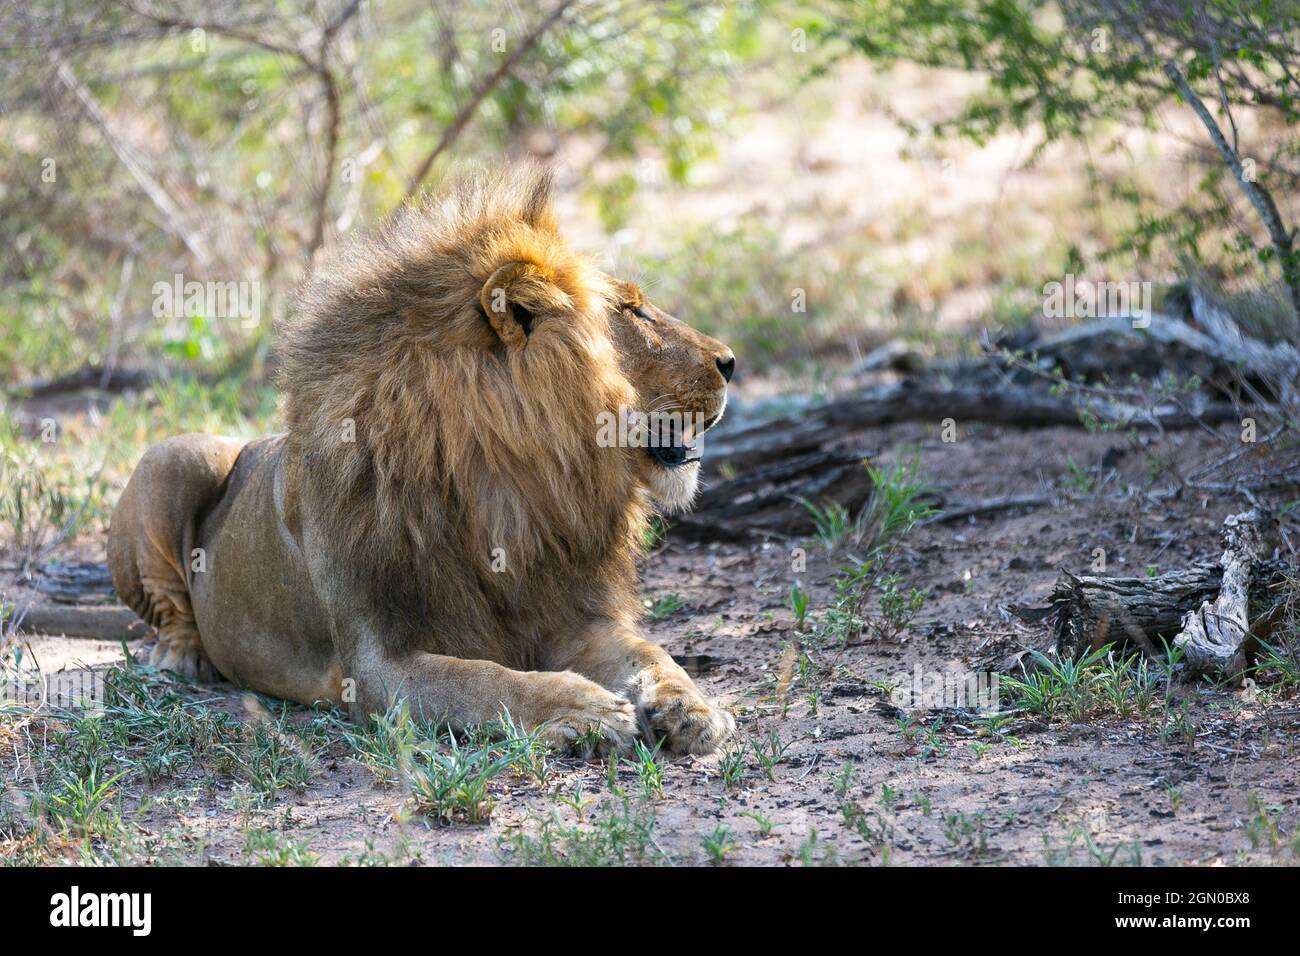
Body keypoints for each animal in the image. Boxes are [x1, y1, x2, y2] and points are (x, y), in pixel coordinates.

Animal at [107, 165, 737, 756]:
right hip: (176, 455)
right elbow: (488, 682)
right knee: (170, 605)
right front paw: (586, 709)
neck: (514, 488)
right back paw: (182, 656)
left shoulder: (574, 616)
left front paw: (692, 707)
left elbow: (651, 654)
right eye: (634, 312)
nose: (730, 361)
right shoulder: (378, 666)